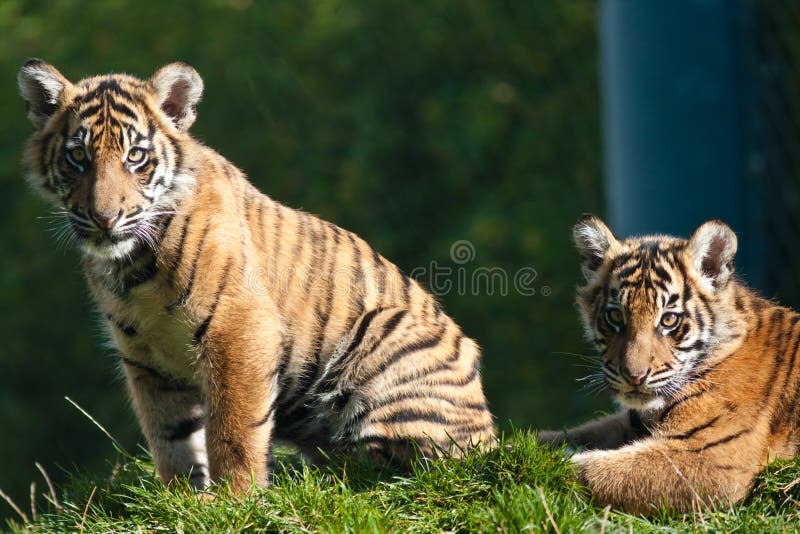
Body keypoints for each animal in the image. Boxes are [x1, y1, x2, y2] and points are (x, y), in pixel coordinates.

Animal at [17, 59, 495, 492]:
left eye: (136, 157)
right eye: (78, 157)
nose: (105, 218)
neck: (131, 266)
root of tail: (488, 430)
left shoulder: (239, 329)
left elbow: (232, 429)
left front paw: (236, 499)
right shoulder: (146, 360)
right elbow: (170, 440)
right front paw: (184, 500)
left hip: (382, 337)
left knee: (399, 464)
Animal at [538, 215, 800, 514]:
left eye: (669, 320)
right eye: (615, 316)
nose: (634, 376)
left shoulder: (711, 455)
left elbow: (593, 470)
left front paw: (521, 469)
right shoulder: (632, 421)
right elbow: (577, 432)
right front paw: (518, 445)